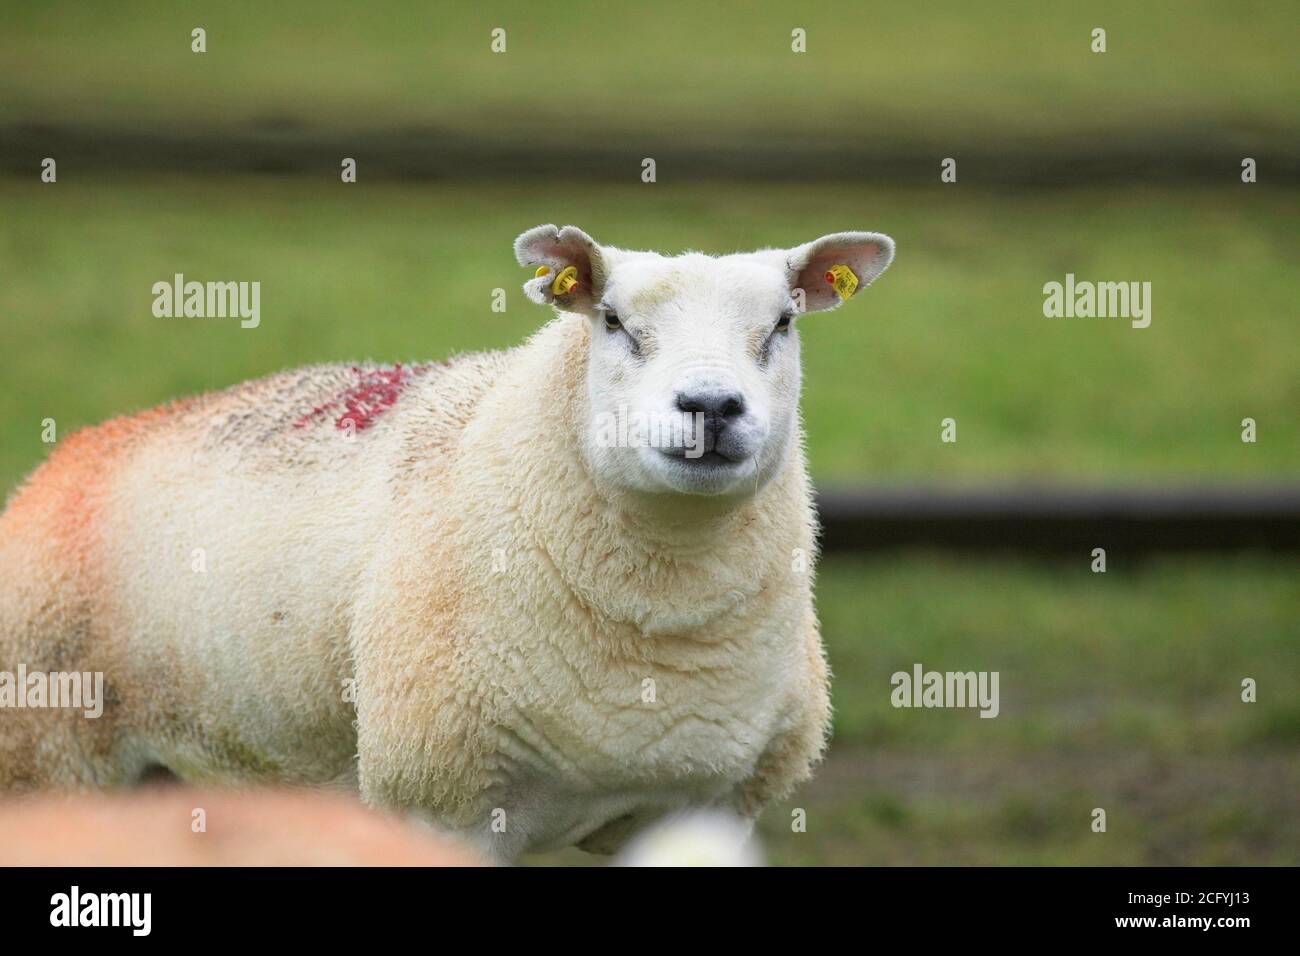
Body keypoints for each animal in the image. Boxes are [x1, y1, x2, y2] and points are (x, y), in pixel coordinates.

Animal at [0, 224, 894, 862]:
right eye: (612, 321)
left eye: (783, 323)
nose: (710, 406)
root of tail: (62, 460)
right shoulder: (440, 799)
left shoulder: (706, 809)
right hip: (46, 756)